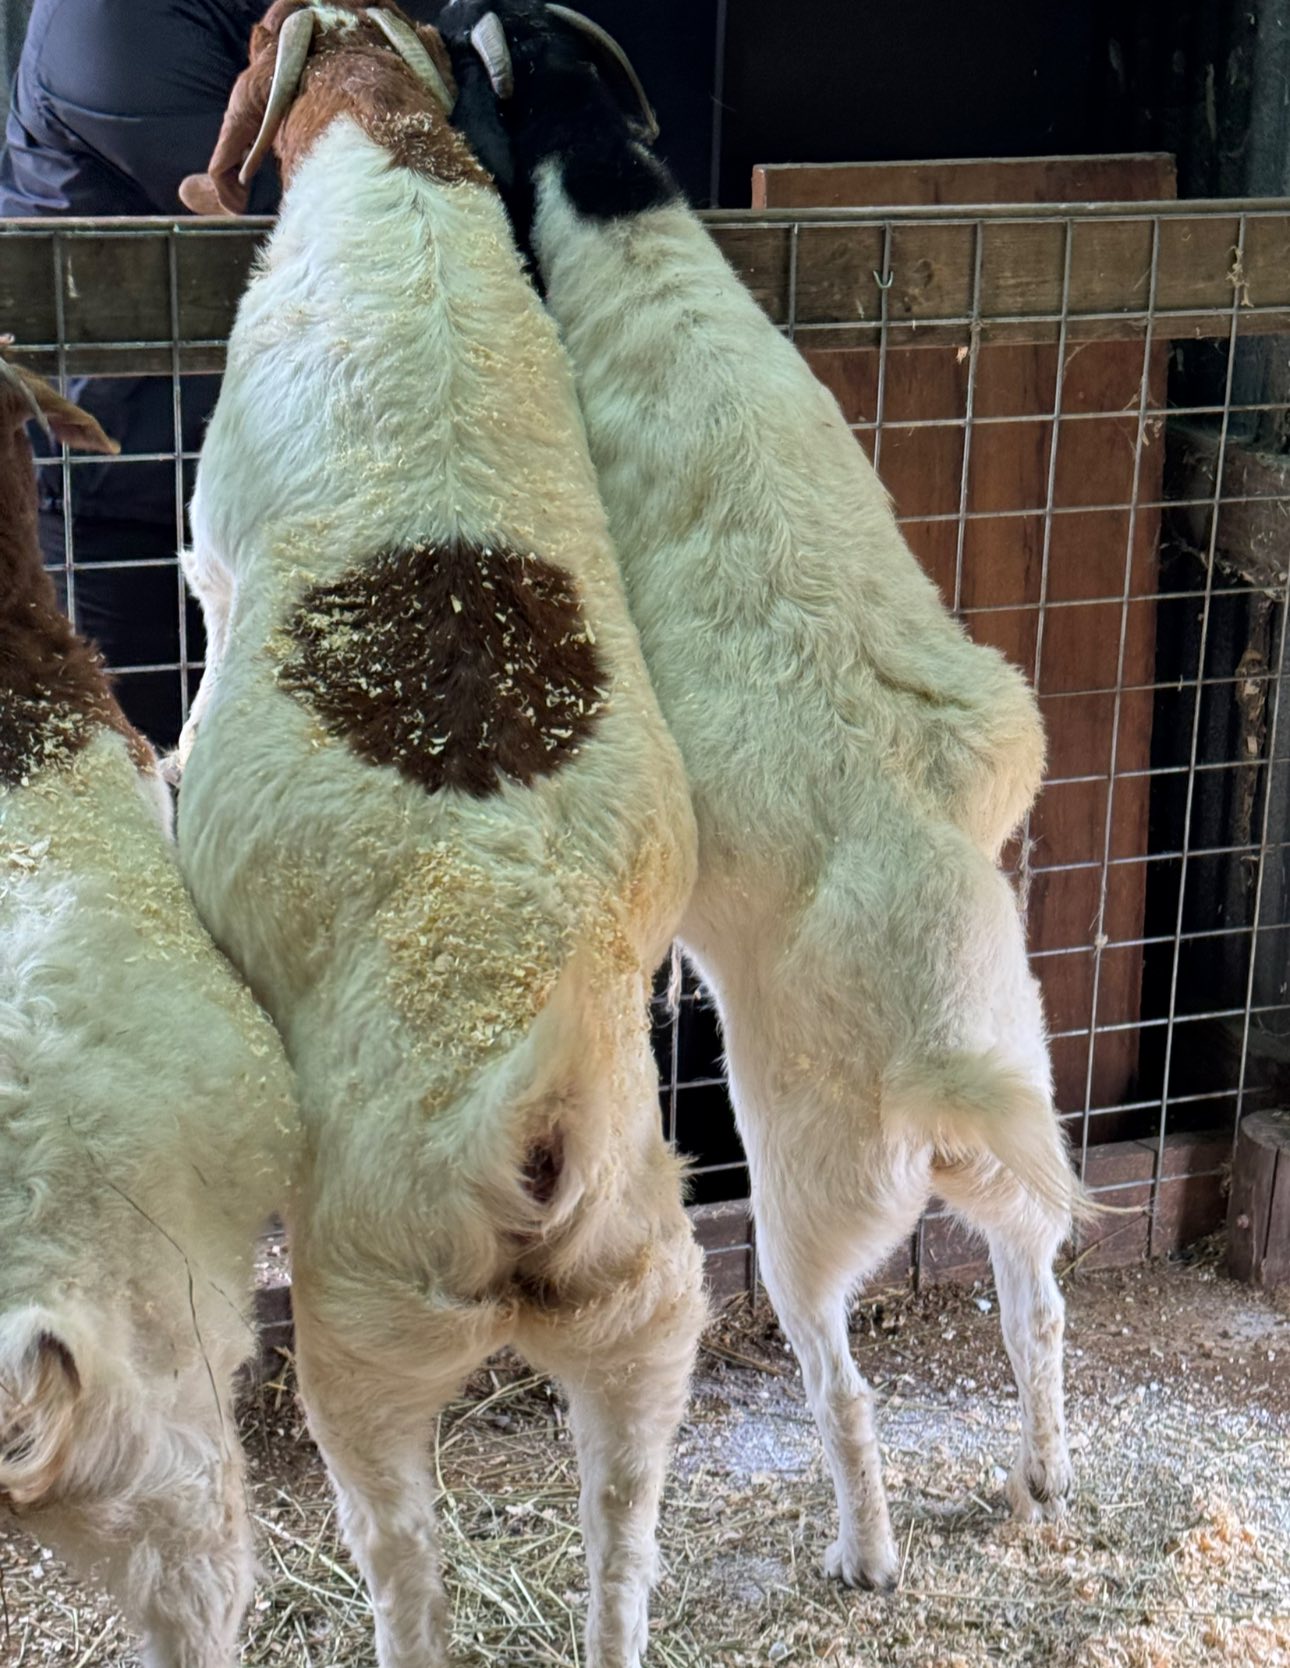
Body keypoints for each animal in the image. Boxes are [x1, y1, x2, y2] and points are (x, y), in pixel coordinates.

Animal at [174, 5, 704, 1663]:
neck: (390, 147)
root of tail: (538, 1127)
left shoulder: (205, 548)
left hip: (367, 1327)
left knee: (404, 1567)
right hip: (651, 1308)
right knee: (622, 1549)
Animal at [439, 0, 1086, 1591]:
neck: (624, 209)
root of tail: (937, 1060)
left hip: (808, 1204)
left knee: (838, 1378)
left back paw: (863, 1551)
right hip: (1017, 1146)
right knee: (1035, 1305)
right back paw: (1041, 1477)